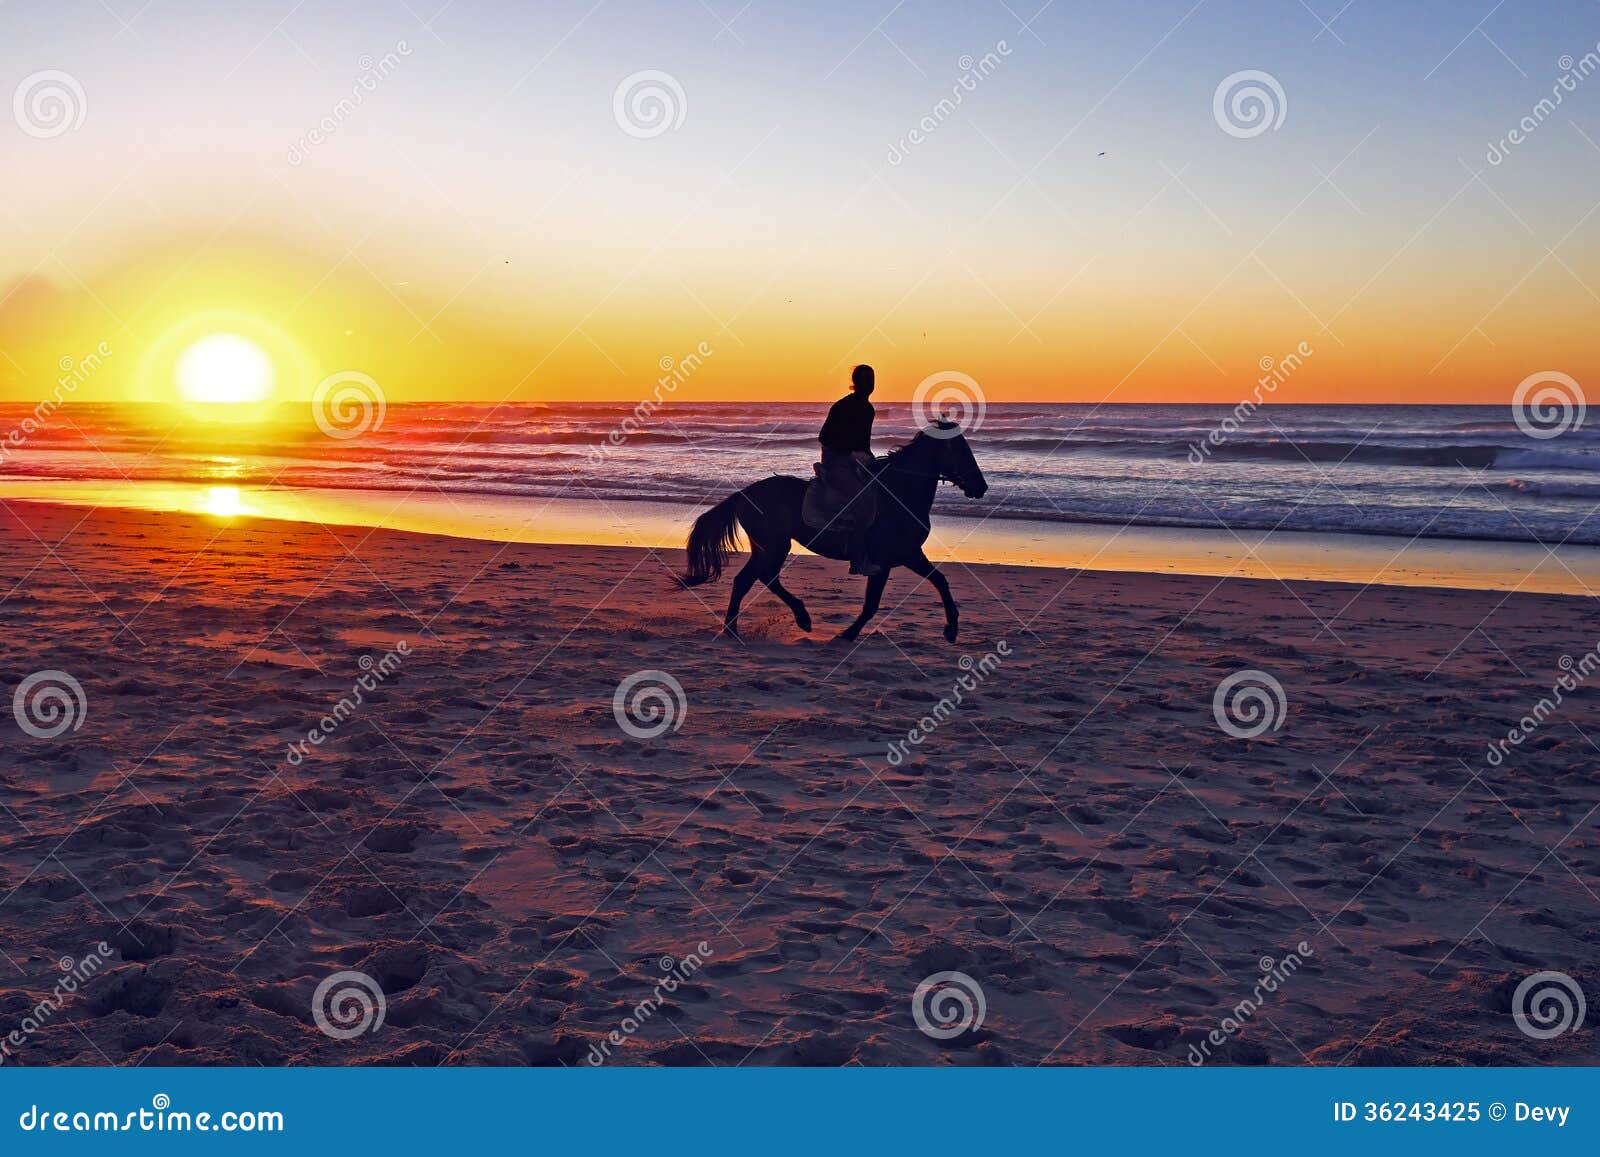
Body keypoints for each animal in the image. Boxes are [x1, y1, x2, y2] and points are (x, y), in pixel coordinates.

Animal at [676, 424, 989, 642]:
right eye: (961, 451)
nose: (981, 486)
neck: (899, 493)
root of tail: (744, 494)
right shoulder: (889, 560)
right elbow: (872, 604)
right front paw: (848, 633)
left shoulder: (908, 554)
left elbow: (940, 581)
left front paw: (951, 629)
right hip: (775, 545)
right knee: (766, 577)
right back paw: (802, 618)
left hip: (765, 546)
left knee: (745, 580)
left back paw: (732, 628)